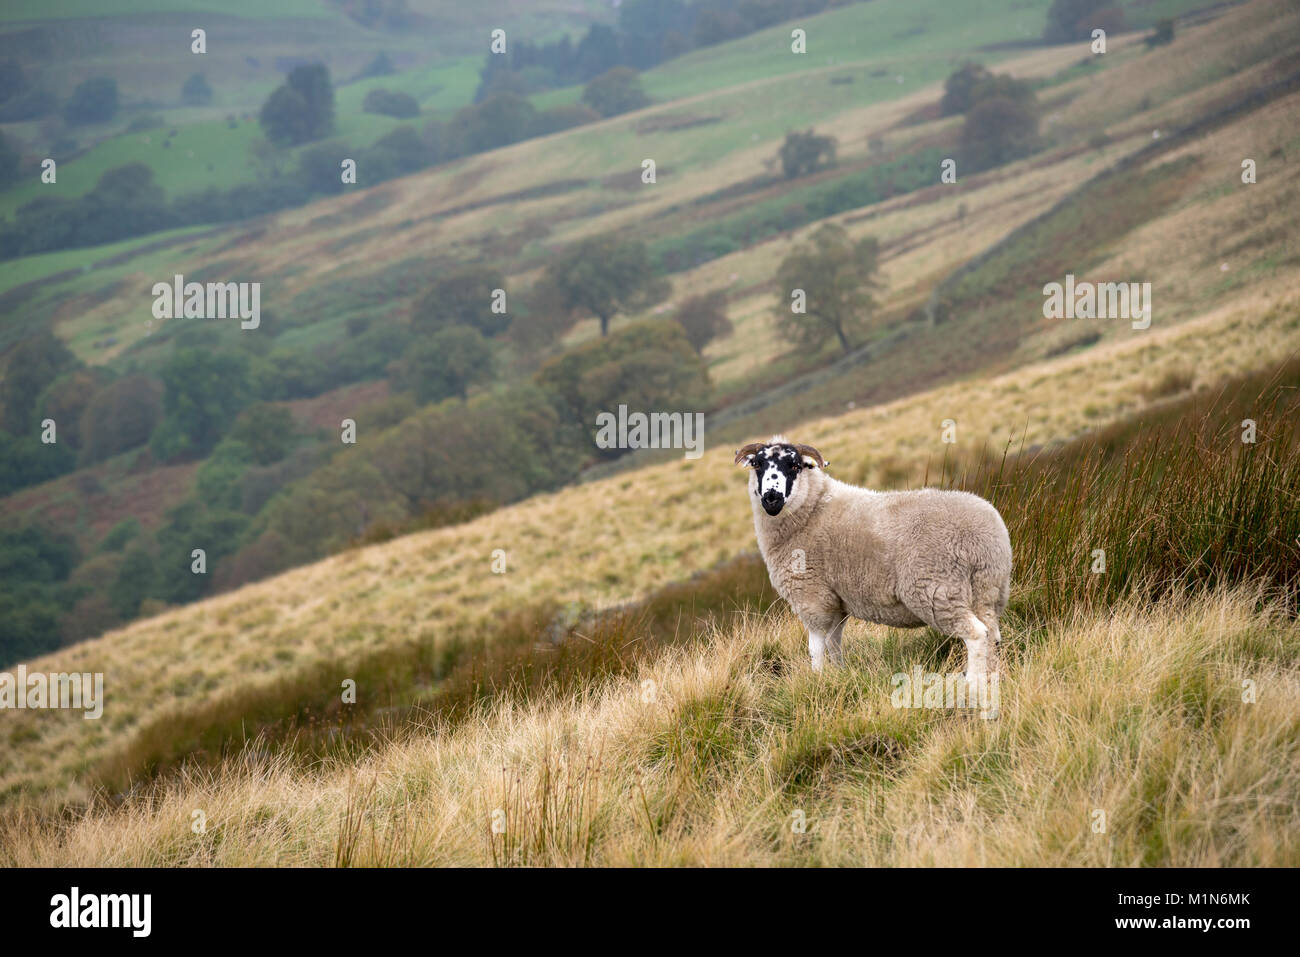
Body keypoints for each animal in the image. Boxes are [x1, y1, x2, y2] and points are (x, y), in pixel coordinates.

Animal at [735, 436, 1011, 681]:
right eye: (757, 464)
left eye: (794, 465)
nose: (771, 498)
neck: (811, 509)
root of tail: (984, 535)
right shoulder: (837, 602)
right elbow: (834, 644)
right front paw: (839, 676)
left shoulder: (812, 597)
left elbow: (816, 649)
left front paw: (816, 679)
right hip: (989, 590)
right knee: (993, 635)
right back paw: (992, 679)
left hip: (938, 590)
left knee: (977, 634)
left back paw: (973, 684)